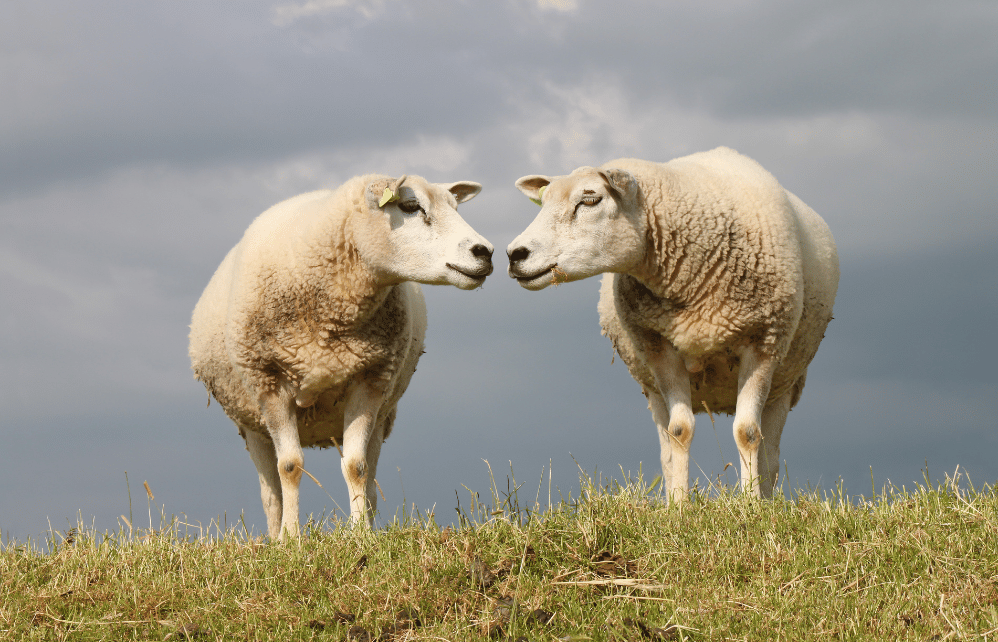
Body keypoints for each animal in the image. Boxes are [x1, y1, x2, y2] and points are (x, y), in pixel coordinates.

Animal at [189, 173, 493, 539]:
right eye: (410, 206)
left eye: (454, 206)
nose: (485, 251)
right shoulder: (269, 381)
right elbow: (290, 467)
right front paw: (291, 538)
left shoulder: (370, 380)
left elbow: (356, 466)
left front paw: (360, 534)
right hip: (252, 424)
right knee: (271, 492)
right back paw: (274, 536)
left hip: (382, 415)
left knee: (371, 479)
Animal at [507, 147, 839, 503]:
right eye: (543, 201)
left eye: (591, 200)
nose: (514, 254)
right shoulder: (658, 346)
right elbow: (679, 431)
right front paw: (679, 505)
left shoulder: (765, 338)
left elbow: (748, 433)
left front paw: (751, 504)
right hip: (652, 388)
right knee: (667, 447)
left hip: (785, 382)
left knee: (770, 454)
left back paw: (764, 497)